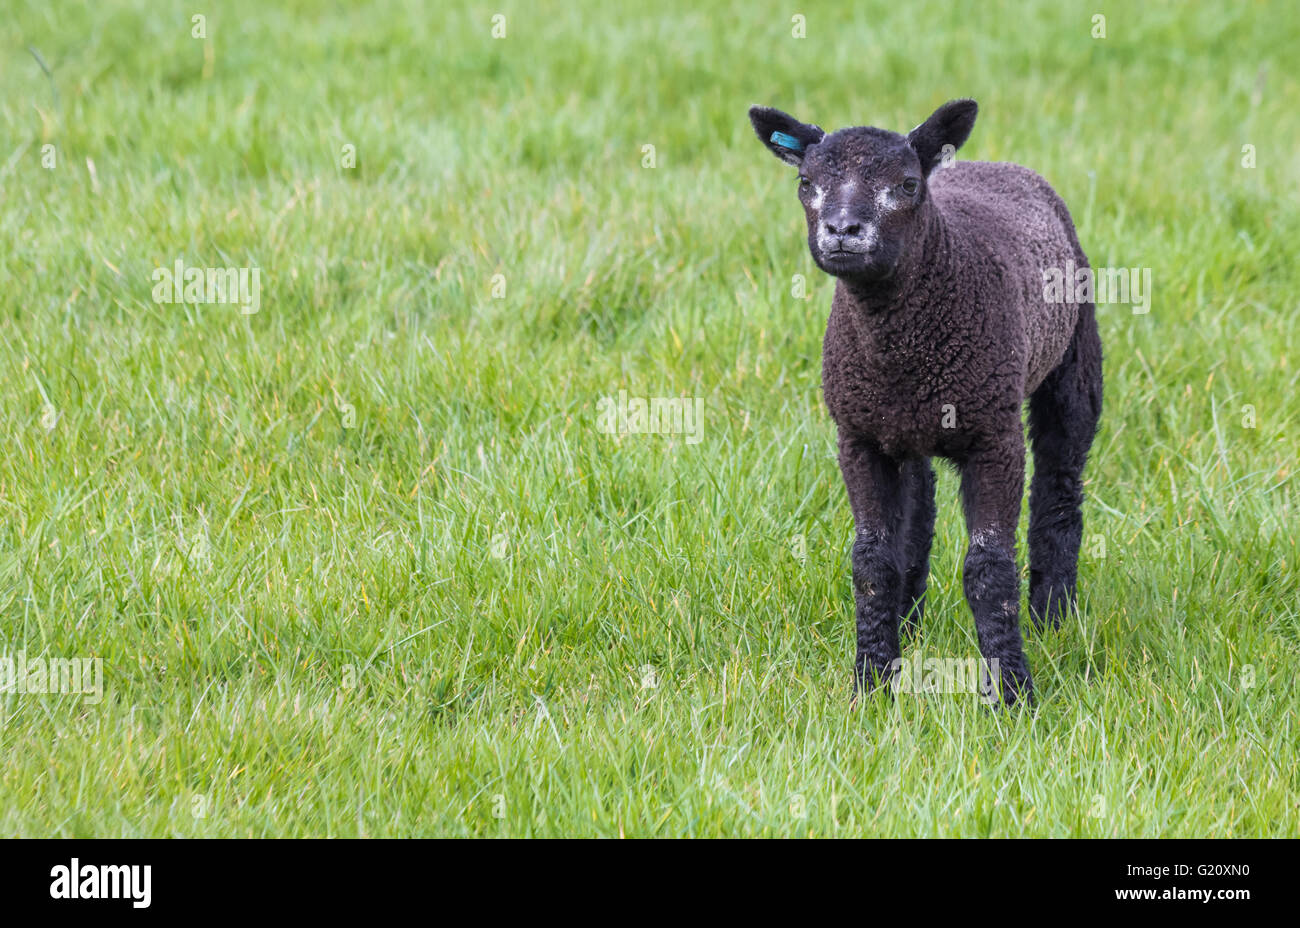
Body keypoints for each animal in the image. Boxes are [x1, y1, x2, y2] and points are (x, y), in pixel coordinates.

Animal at [748, 99, 1103, 706]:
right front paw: (871, 684)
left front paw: (1012, 694)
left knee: (1060, 488)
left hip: (1074, 365)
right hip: (904, 429)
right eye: (805, 183)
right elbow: (872, 563)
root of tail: (989, 163)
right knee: (919, 513)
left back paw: (1053, 618)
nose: (843, 230)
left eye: (907, 184)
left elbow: (989, 569)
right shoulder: (859, 437)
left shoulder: (993, 437)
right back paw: (910, 624)